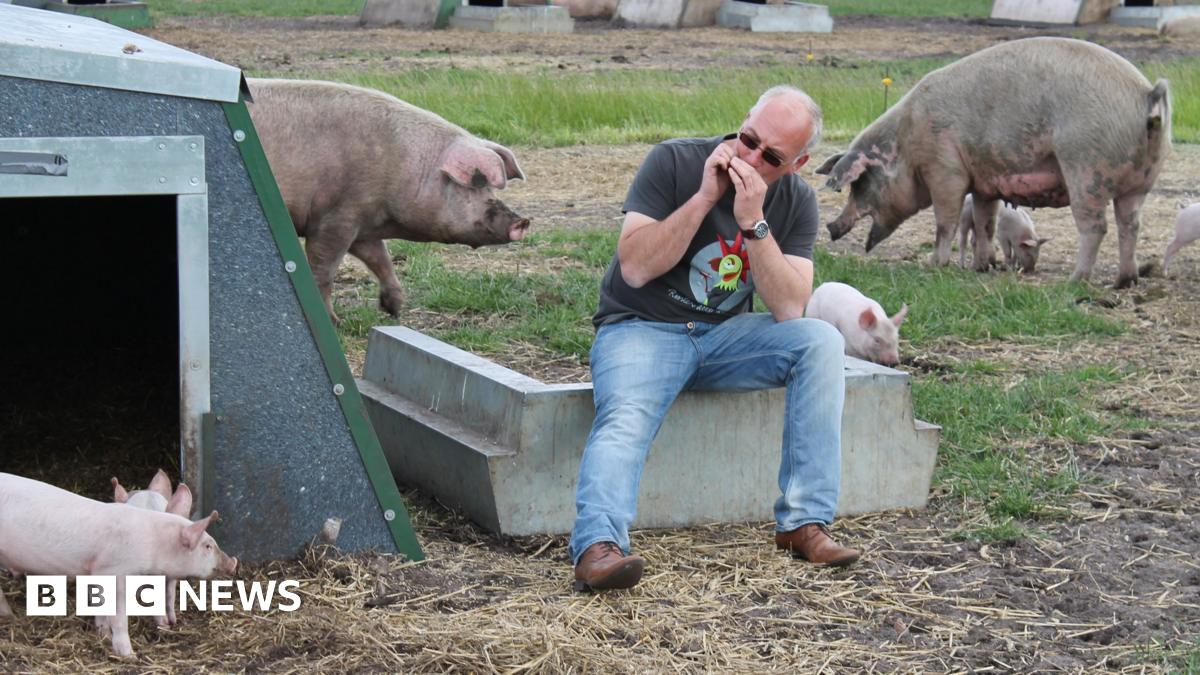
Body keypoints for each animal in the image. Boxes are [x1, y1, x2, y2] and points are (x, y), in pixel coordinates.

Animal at [246, 78, 531, 322]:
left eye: (491, 189)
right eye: (477, 185)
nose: (522, 222)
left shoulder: (363, 223)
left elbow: (381, 259)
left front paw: (394, 310)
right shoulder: (336, 218)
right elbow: (324, 270)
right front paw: (334, 322)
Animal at [816, 37, 1171, 289]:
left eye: (860, 184)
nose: (831, 227)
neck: (907, 144)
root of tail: (1146, 95)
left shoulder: (945, 172)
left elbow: (944, 221)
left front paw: (934, 264)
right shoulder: (984, 183)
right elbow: (985, 222)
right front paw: (981, 267)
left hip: (1086, 169)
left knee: (1097, 226)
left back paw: (1073, 282)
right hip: (1141, 182)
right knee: (1130, 225)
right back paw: (1122, 283)